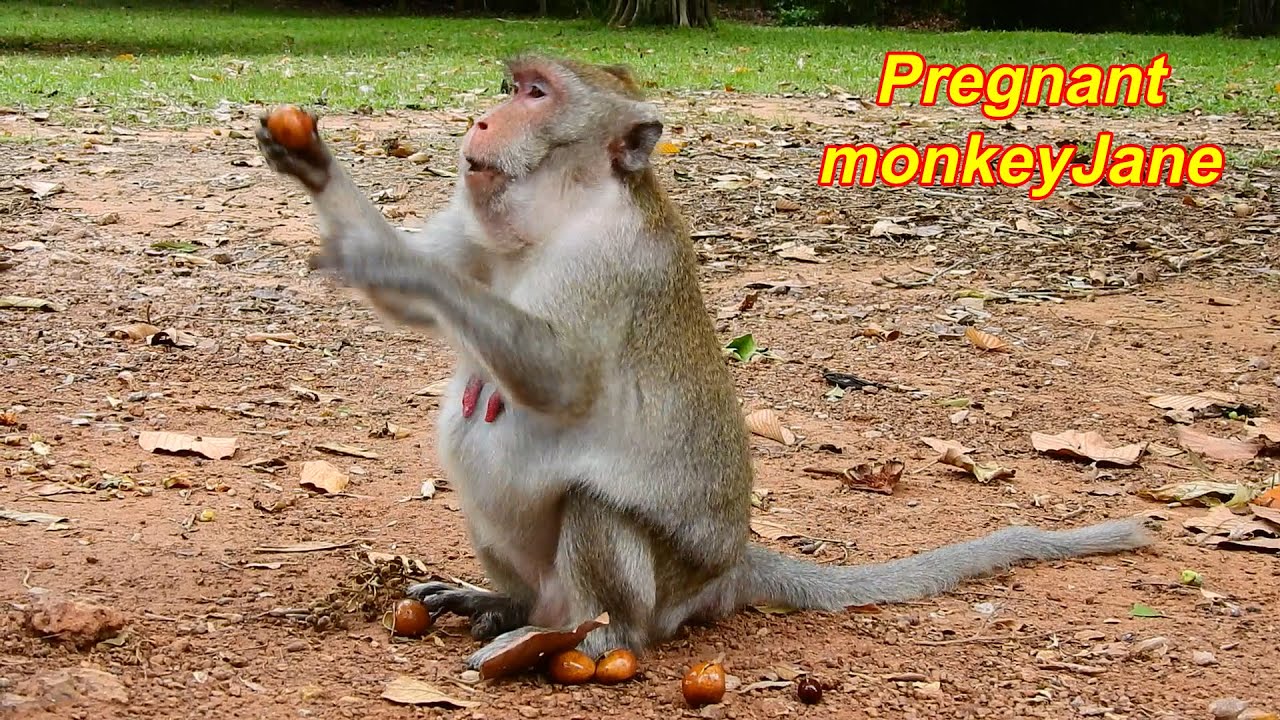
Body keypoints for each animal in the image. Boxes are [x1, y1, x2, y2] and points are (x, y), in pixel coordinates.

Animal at [256, 54, 1153, 670]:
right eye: (513, 86)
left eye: (536, 94)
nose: (481, 121)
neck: (566, 206)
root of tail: (729, 567)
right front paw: (314, 166)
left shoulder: (612, 258)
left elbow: (558, 377)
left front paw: (380, 254)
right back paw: (506, 601)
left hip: (667, 585)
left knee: (598, 515)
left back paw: (584, 637)